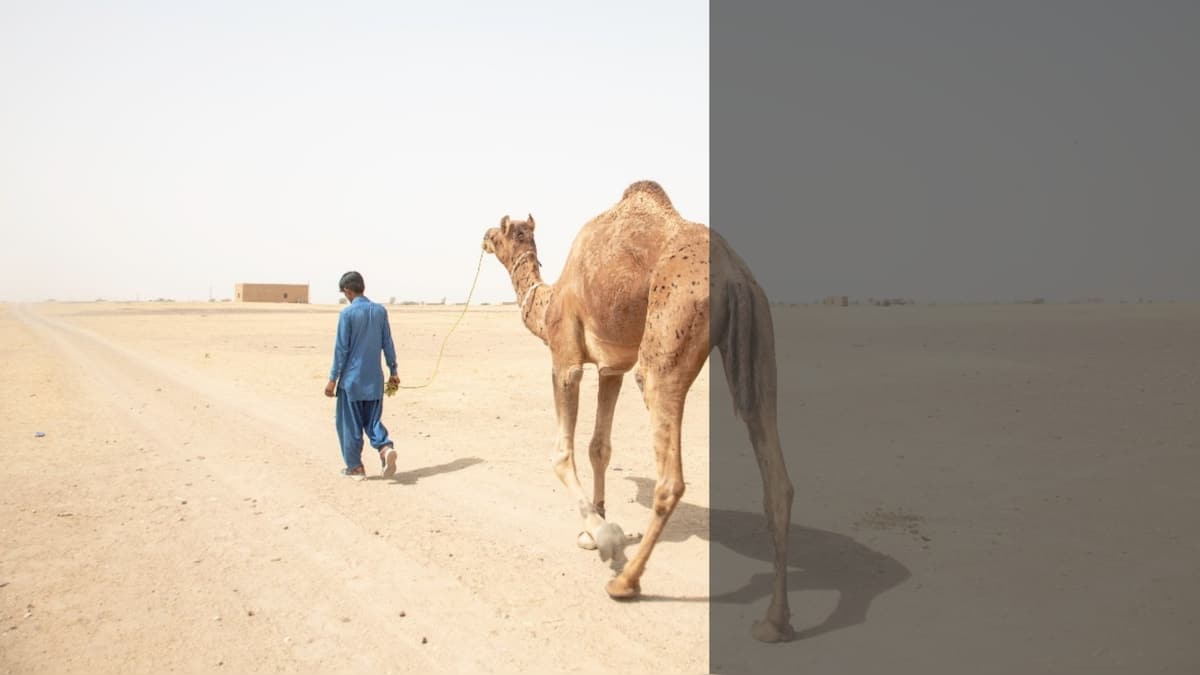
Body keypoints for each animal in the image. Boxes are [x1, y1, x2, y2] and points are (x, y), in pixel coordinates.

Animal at [482, 180, 796, 642]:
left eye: (500, 232)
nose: (483, 238)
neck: (548, 301)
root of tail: (735, 273)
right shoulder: (611, 368)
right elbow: (599, 447)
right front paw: (593, 525)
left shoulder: (566, 358)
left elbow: (561, 454)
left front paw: (605, 535)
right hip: (761, 339)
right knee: (776, 475)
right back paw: (774, 621)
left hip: (667, 341)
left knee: (671, 478)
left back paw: (626, 581)